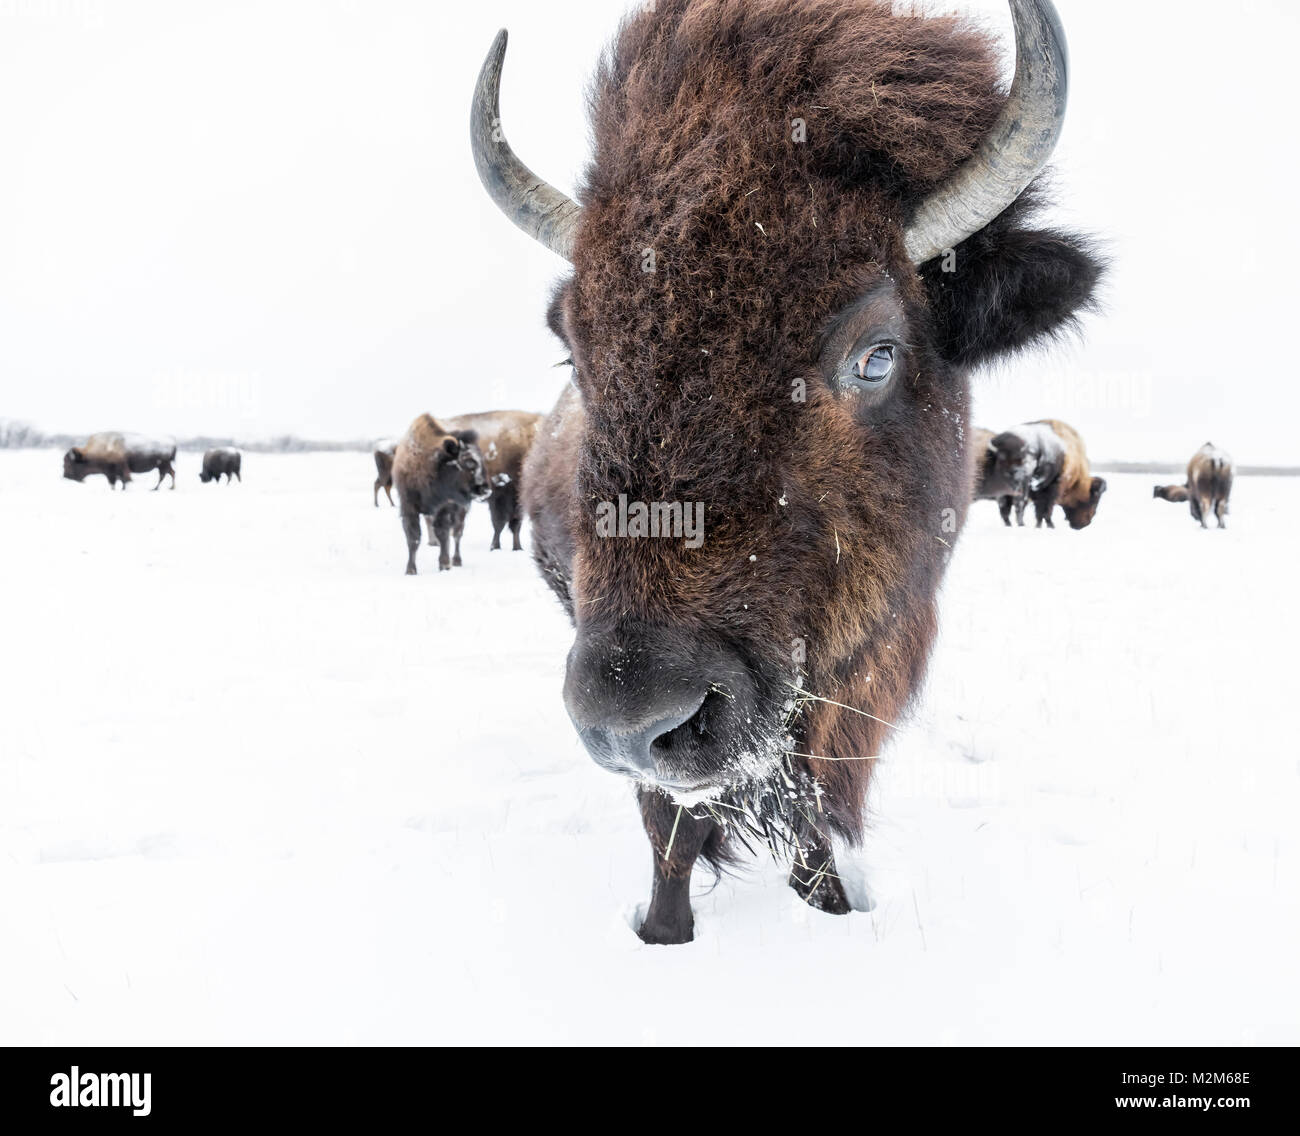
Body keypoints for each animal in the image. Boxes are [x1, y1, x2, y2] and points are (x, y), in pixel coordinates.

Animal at [473, 0, 1102, 941]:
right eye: (579, 354)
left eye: (875, 356)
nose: (634, 714)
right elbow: (672, 830)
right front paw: (664, 934)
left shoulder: (868, 675)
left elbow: (819, 818)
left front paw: (831, 906)